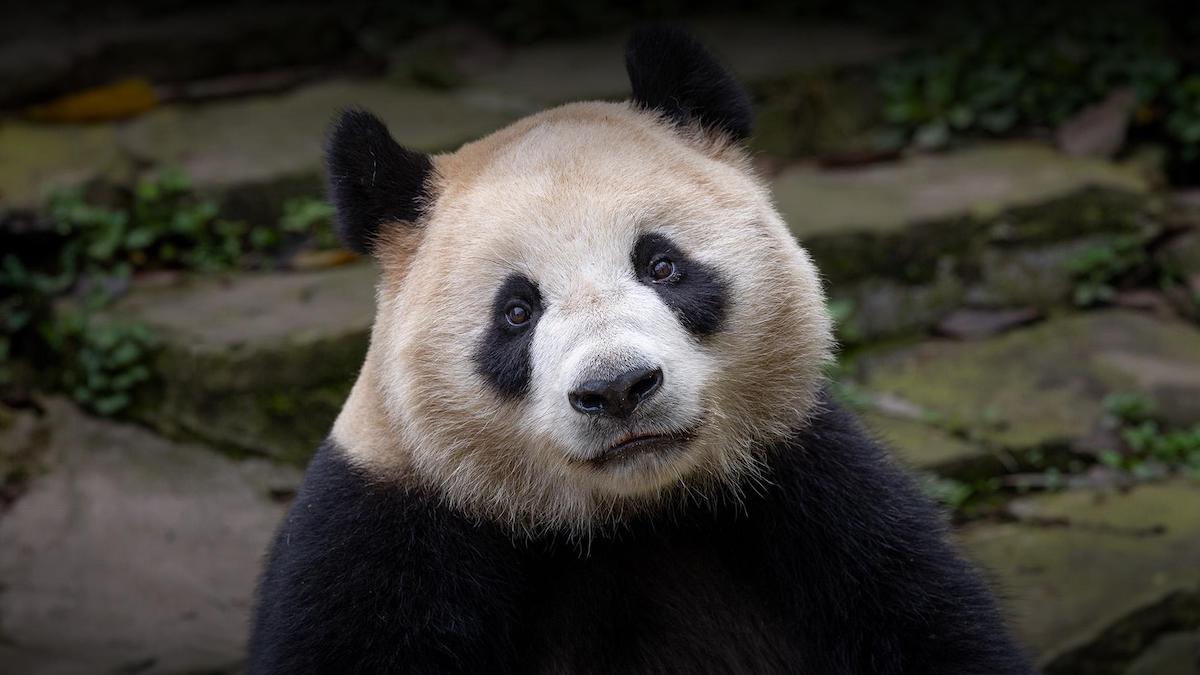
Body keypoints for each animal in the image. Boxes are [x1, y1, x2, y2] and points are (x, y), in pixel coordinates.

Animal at [248, 26, 1035, 675]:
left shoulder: (815, 492)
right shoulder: (385, 533)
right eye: (516, 312)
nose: (618, 388)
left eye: (661, 265)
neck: (625, 516)